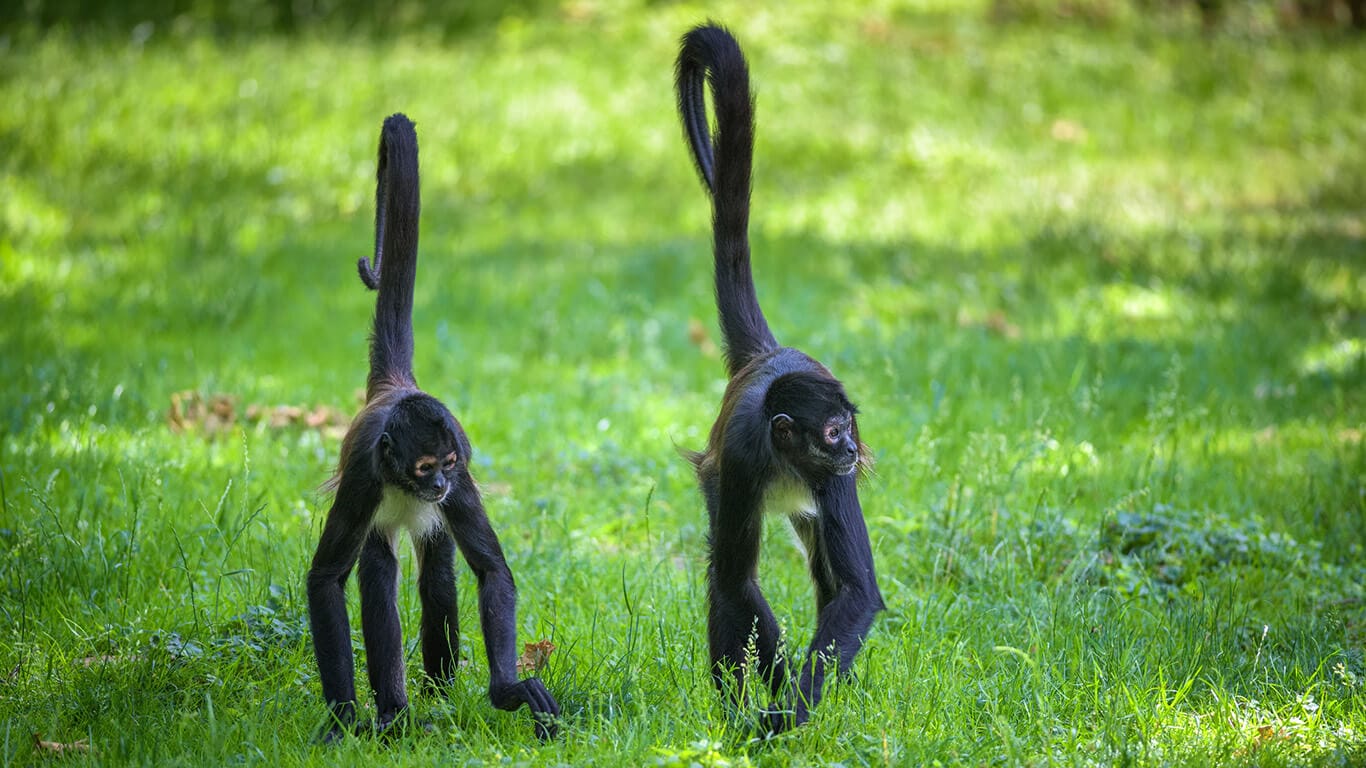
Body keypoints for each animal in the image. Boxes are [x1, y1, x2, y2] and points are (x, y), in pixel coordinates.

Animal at [306, 113, 559, 743]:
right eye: (423, 467)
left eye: (444, 465)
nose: (439, 486)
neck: (404, 480)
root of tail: (396, 386)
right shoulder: (365, 478)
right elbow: (327, 580)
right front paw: (344, 718)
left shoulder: (463, 465)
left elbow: (490, 571)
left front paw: (506, 690)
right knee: (379, 575)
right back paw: (395, 712)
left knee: (438, 571)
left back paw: (437, 692)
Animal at [674, 24, 885, 735]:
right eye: (831, 432)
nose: (851, 450)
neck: (788, 452)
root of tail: (769, 358)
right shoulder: (743, 457)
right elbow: (737, 587)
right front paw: (770, 711)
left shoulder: (832, 478)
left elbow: (854, 592)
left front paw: (793, 708)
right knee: (725, 578)